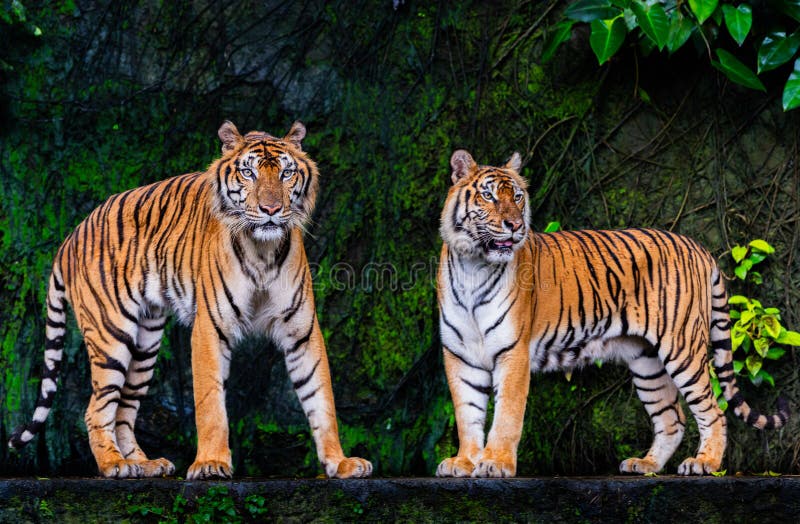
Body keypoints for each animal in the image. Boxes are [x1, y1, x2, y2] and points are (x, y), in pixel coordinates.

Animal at [8, 121, 372, 480]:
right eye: (249, 173)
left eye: (286, 173)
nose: (271, 210)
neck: (263, 251)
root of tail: (72, 234)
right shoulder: (211, 327)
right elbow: (210, 401)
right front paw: (211, 463)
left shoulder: (302, 331)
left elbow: (320, 397)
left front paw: (340, 462)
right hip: (111, 333)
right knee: (96, 407)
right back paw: (114, 464)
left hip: (145, 343)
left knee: (124, 408)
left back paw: (143, 465)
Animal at [435, 149, 789, 478]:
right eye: (489, 195)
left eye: (518, 197)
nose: (515, 226)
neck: (473, 266)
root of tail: (699, 247)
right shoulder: (460, 355)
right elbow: (467, 414)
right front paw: (464, 462)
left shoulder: (513, 352)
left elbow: (506, 414)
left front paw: (495, 464)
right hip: (646, 361)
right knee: (672, 418)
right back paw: (646, 464)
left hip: (683, 348)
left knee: (713, 410)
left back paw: (704, 463)